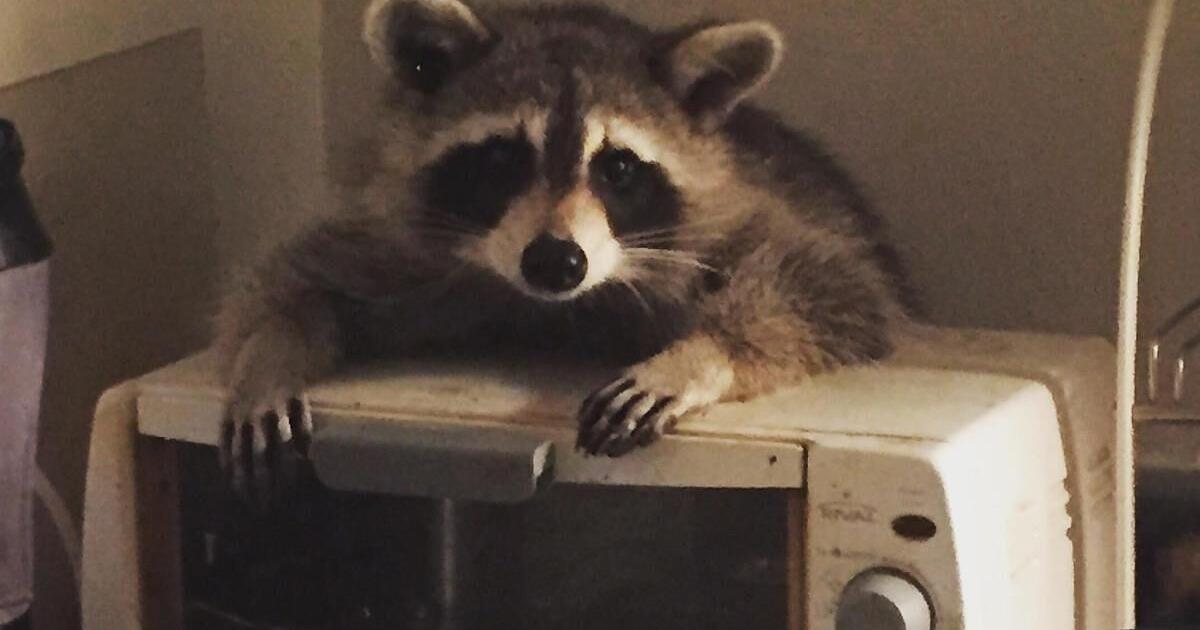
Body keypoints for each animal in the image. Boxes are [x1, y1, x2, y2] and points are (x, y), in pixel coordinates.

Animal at [214, 0, 911, 496]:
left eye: (619, 169)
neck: (551, 304)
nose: (556, 262)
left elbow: (834, 288)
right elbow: (292, 280)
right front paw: (270, 354)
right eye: (502, 158)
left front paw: (698, 354)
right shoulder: (414, 252)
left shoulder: (732, 220)